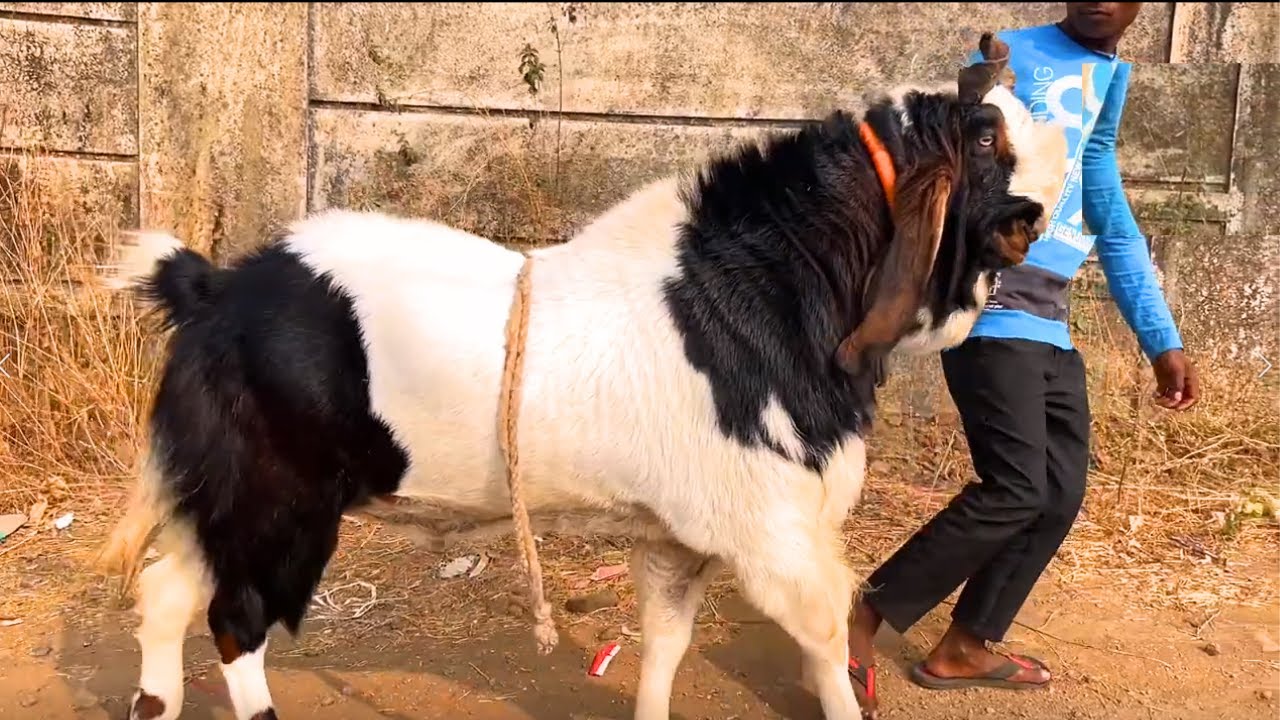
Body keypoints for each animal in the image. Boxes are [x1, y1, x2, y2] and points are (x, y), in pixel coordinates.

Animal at [95, 33, 1067, 720]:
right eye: (985, 135)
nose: (1061, 161)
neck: (769, 289)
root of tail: (211, 286)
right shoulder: (774, 535)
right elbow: (828, 650)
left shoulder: (676, 540)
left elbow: (664, 650)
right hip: (279, 506)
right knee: (236, 622)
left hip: (218, 493)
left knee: (167, 592)